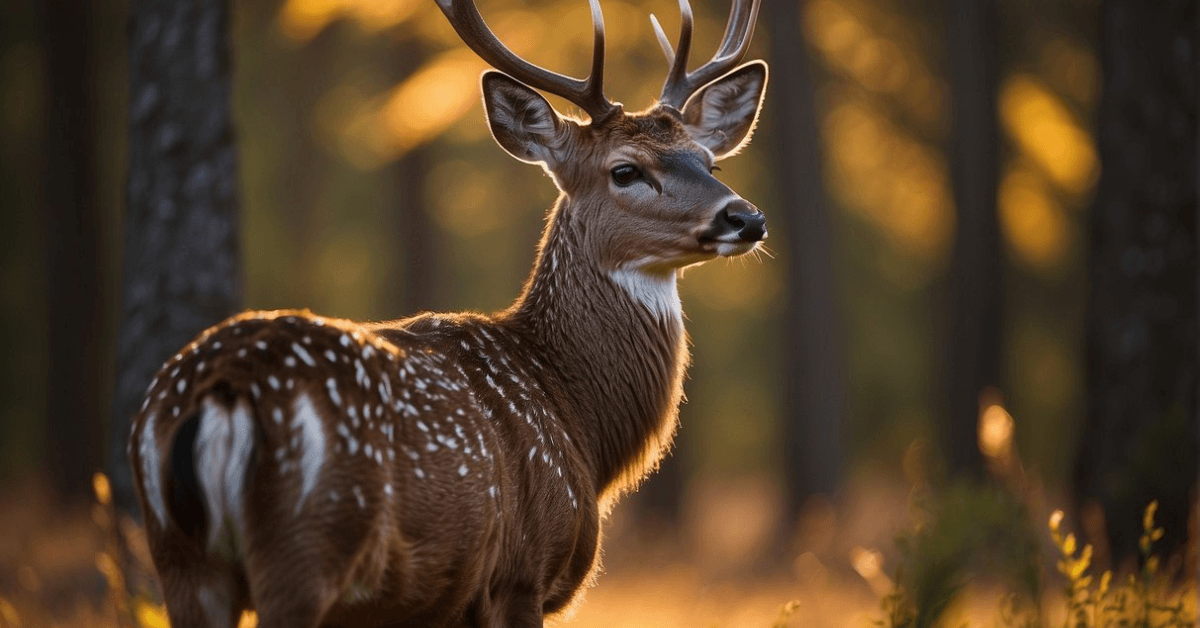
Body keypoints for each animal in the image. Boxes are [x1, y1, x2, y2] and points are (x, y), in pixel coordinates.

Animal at [128, 0, 767, 625]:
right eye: (626, 170)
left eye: (709, 162)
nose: (747, 217)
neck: (578, 422)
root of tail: (221, 389)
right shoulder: (520, 573)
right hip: (306, 550)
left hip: (181, 560)